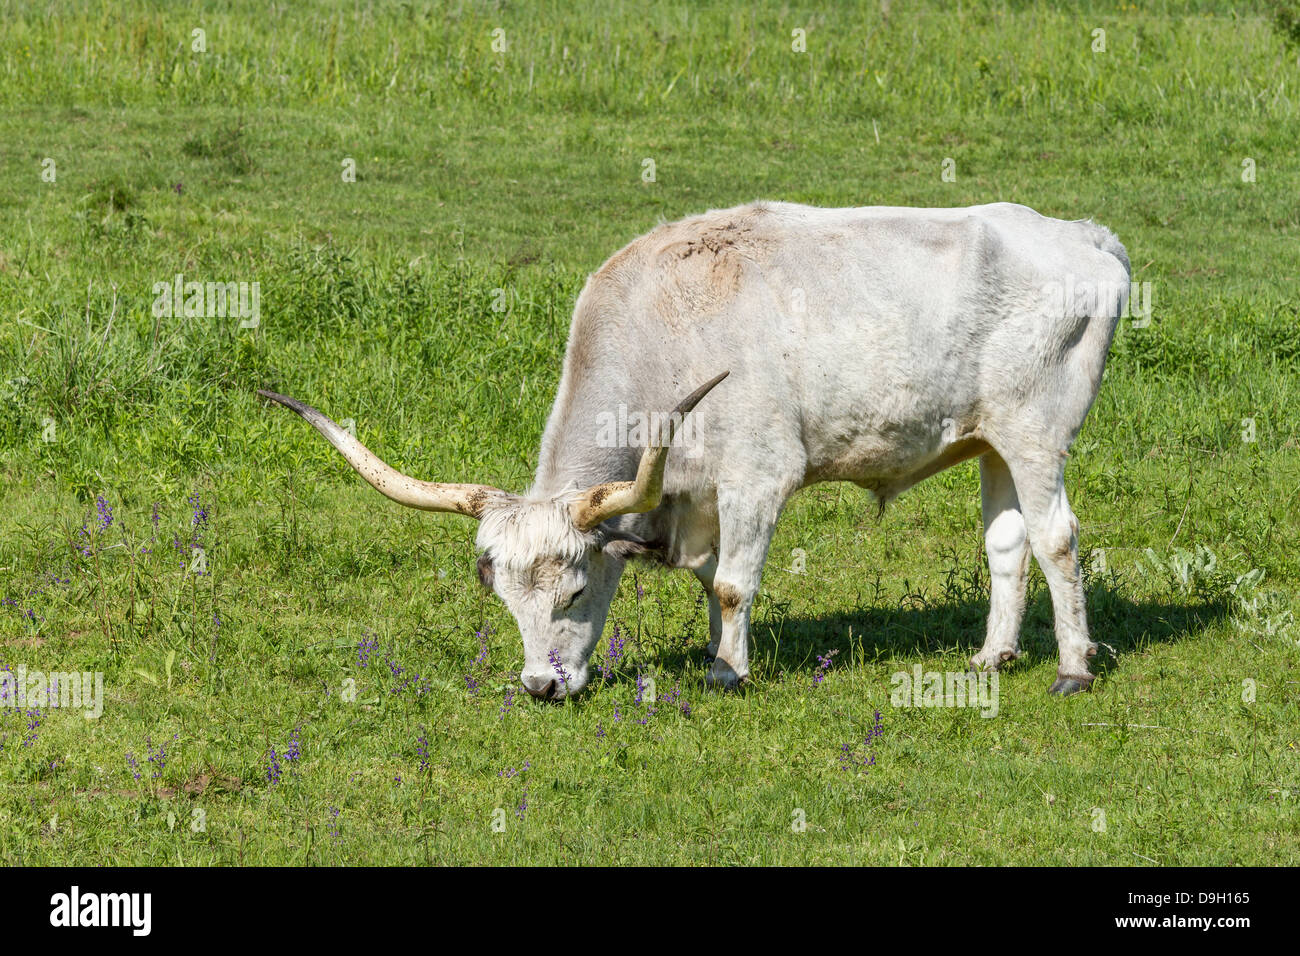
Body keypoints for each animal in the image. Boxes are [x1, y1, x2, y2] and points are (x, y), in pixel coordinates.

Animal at [259, 200, 1130, 701]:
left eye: (576, 591)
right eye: (504, 598)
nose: (540, 686)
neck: (666, 333)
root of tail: (1084, 237)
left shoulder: (758, 477)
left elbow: (737, 584)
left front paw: (726, 672)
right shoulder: (698, 498)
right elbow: (714, 582)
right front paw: (719, 649)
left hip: (1036, 434)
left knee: (1057, 538)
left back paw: (1073, 668)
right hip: (990, 442)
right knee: (1007, 543)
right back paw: (992, 658)